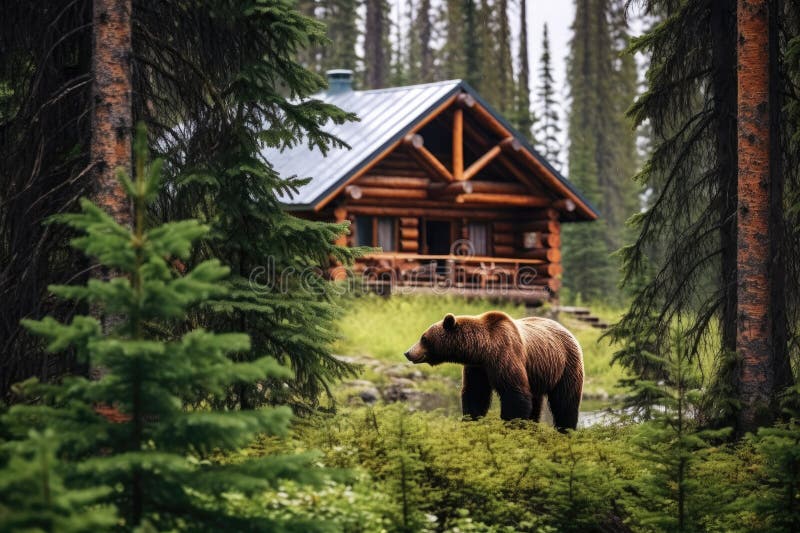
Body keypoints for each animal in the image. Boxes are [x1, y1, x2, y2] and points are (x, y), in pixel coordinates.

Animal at [404, 311, 584, 430]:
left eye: (423, 338)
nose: (408, 352)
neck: (483, 350)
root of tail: (566, 329)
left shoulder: (505, 355)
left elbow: (515, 394)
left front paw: (511, 425)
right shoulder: (478, 368)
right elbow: (475, 394)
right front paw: (470, 420)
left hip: (566, 364)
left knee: (565, 400)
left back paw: (565, 428)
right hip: (538, 373)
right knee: (537, 401)